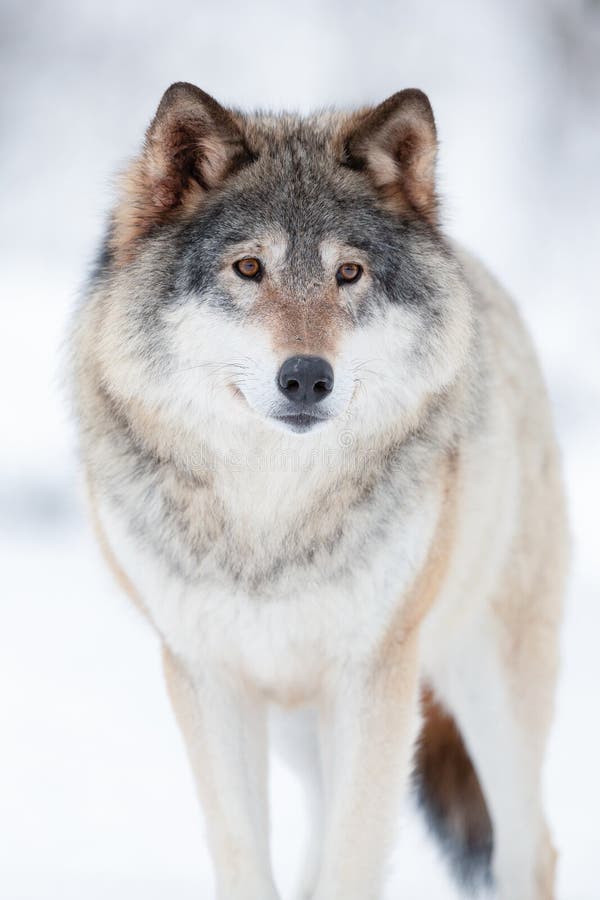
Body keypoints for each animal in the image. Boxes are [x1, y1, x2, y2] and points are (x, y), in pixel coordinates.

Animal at [70, 82, 568, 899]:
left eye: (349, 274)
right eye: (248, 268)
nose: (307, 377)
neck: (272, 514)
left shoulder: (374, 677)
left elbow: (354, 860)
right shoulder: (207, 676)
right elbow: (246, 857)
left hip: (483, 685)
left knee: (532, 848)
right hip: (303, 726)